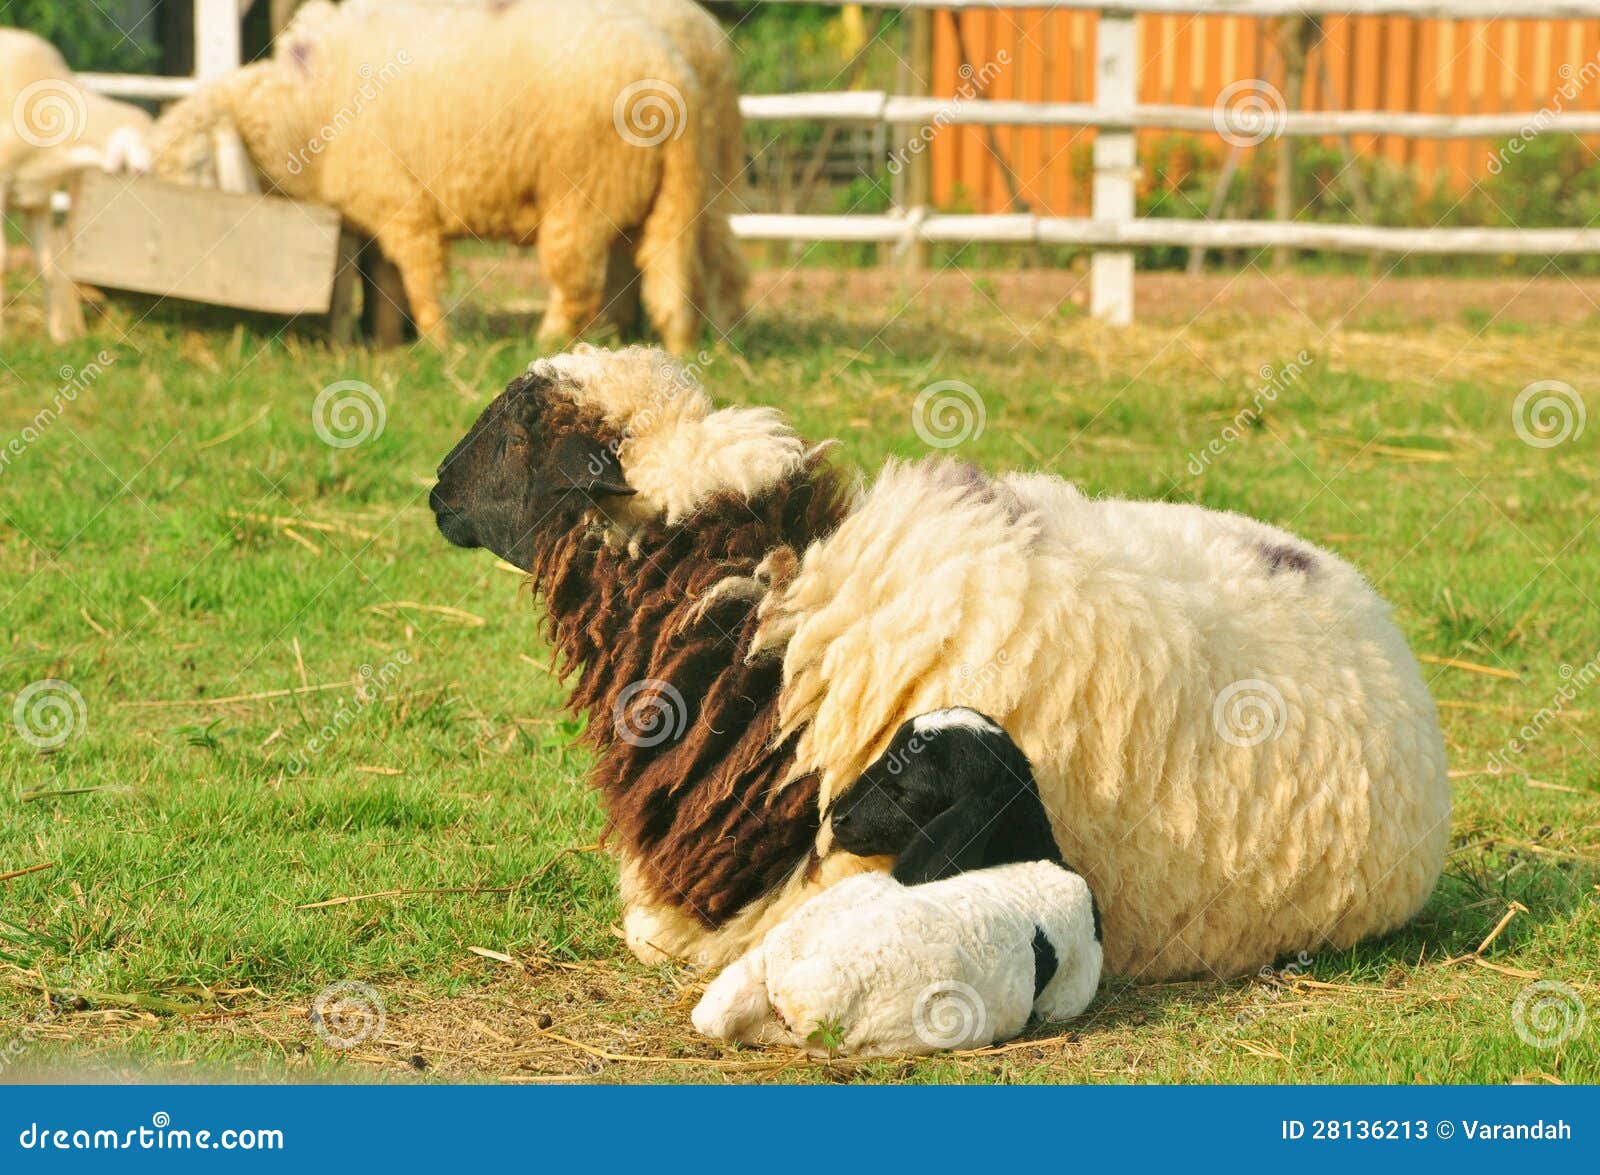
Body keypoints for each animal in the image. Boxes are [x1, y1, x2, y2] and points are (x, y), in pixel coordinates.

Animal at [147, 0, 710, 351]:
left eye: (196, 167)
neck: (302, 113)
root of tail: (672, 71)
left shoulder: (400, 203)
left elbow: (418, 280)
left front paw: (440, 347)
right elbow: (384, 284)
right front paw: (385, 344)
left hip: (584, 190)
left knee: (577, 287)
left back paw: (544, 344)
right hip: (664, 193)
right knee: (665, 277)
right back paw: (676, 348)